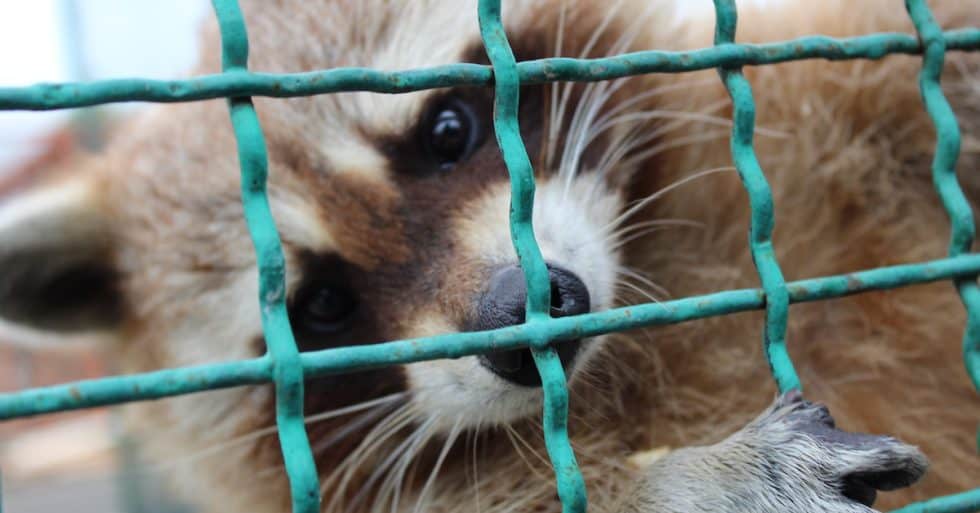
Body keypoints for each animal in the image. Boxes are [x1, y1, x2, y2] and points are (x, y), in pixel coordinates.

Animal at [1, 1, 978, 512]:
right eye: (321, 304)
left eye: (446, 130)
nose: (525, 317)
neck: (613, 363)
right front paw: (688, 480)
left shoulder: (828, 129)